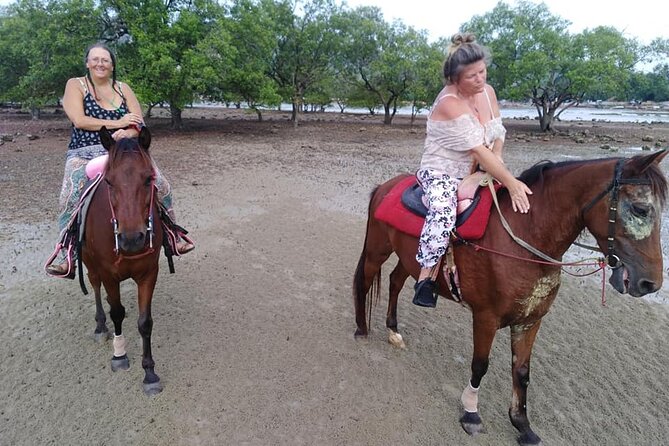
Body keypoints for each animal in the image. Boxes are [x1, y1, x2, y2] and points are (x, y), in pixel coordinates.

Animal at [83, 126, 164, 395]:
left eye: (148, 179)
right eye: (109, 181)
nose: (131, 239)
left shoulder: (149, 273)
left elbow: (145, 322)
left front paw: (149, 373)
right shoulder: (109, 274)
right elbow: (117, 313)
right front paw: (119, 356)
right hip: (90, 264)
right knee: (96, 288)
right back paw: (100, 327)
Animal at [352, 150, 667, 445]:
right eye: (641, 209)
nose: (650, 283)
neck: (525, 237)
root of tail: (385, 186)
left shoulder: (530, 321)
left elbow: (522, 372)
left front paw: (522, 424)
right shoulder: (485, 318)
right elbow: (480, 365)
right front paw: (471, 414)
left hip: (408, 260)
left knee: (394, 282)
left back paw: (393, 330)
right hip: (377, 249)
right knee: (365, 282)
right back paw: (361, 329)